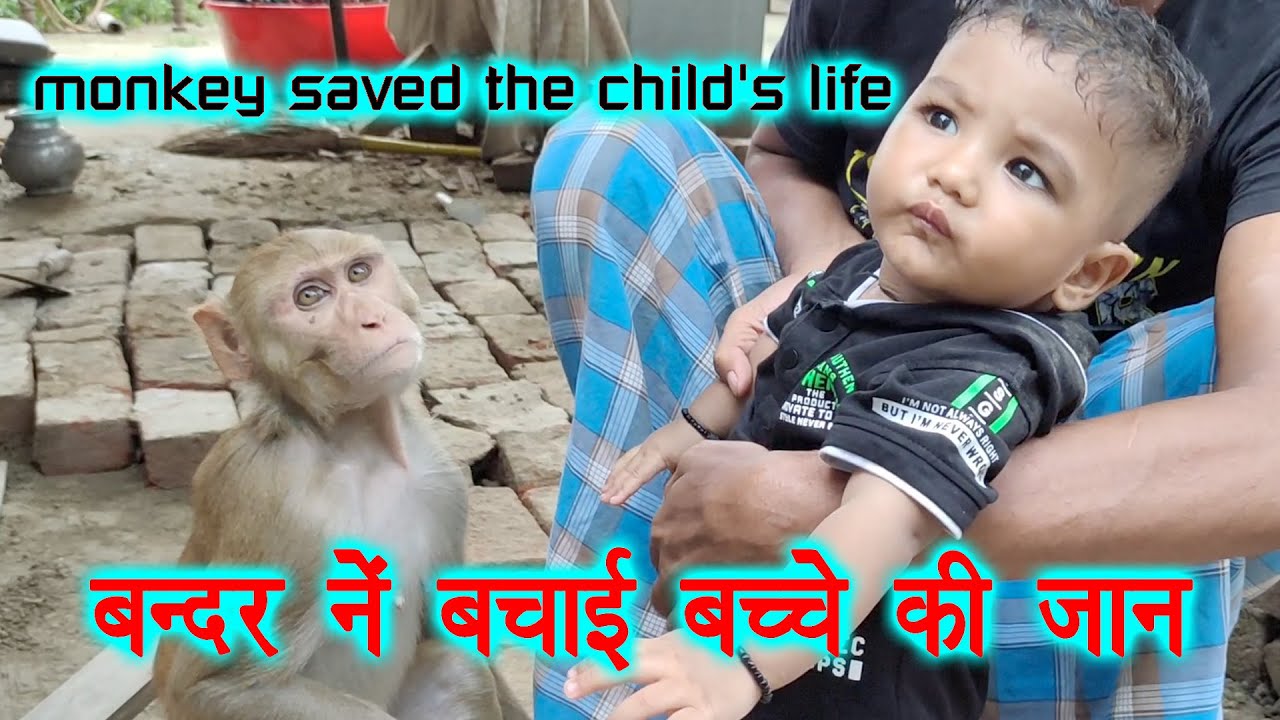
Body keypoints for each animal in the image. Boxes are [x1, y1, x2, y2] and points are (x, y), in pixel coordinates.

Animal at [151, 228, 506, 720]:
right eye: (310, 297)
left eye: (358, 273)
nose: (373, 318)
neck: (358, 447)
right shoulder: (280, 509)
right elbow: (210, 687)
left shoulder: (442, 481)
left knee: (457, 668)